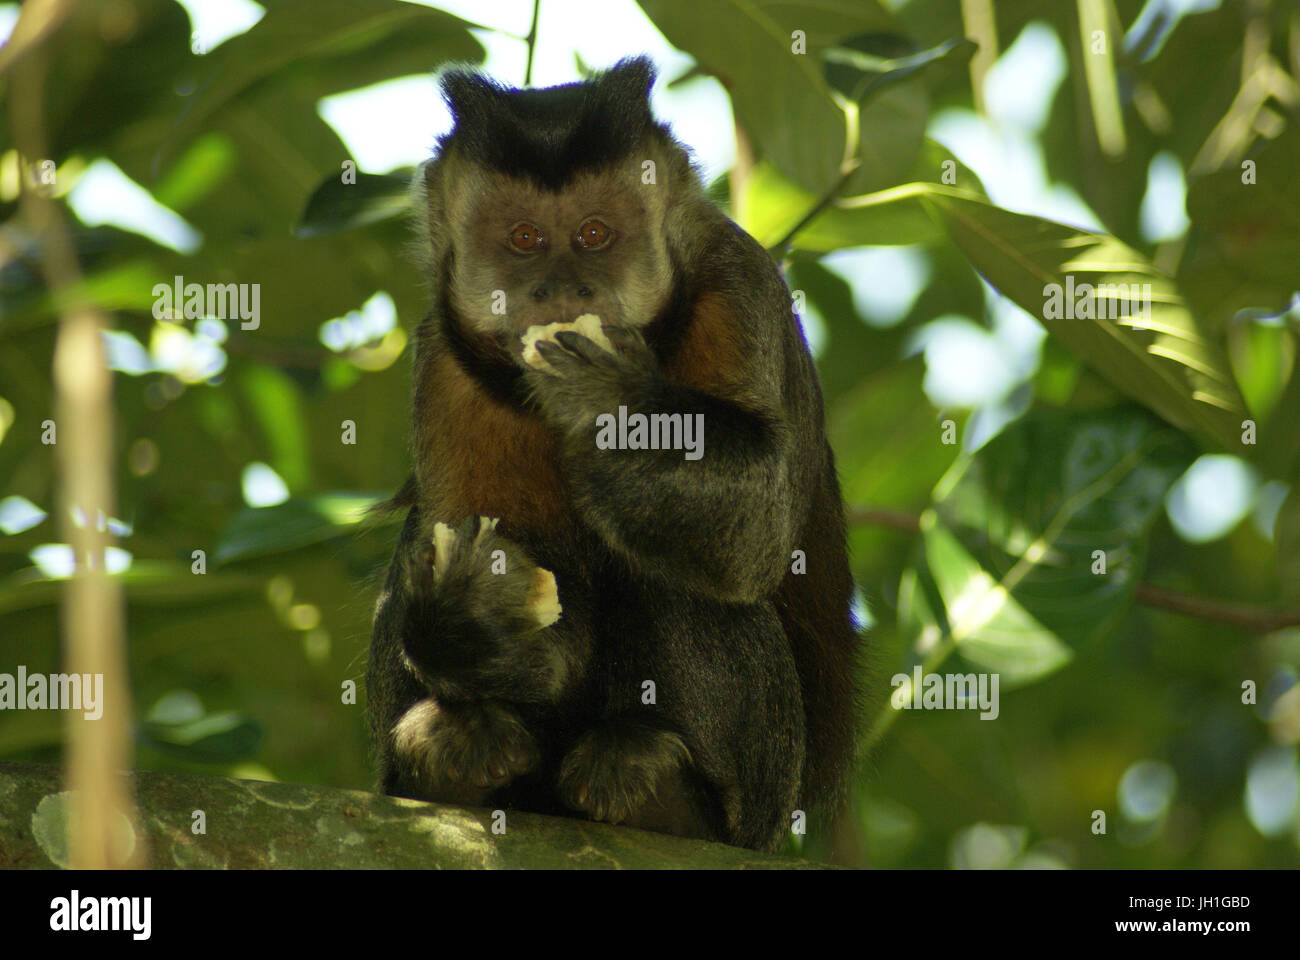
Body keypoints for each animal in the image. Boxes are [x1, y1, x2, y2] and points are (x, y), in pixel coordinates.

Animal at [365, 56, 862, 853]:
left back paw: (669, 798)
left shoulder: (741, 286)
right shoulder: (442, 360)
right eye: (525, 237)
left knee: (675, 567)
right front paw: (471, 625)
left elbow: (757, 530)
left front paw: (607, 400)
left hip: (766, 791)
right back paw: (449, 760)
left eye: (595, 233)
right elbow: (506, 560)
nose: (563, 289)